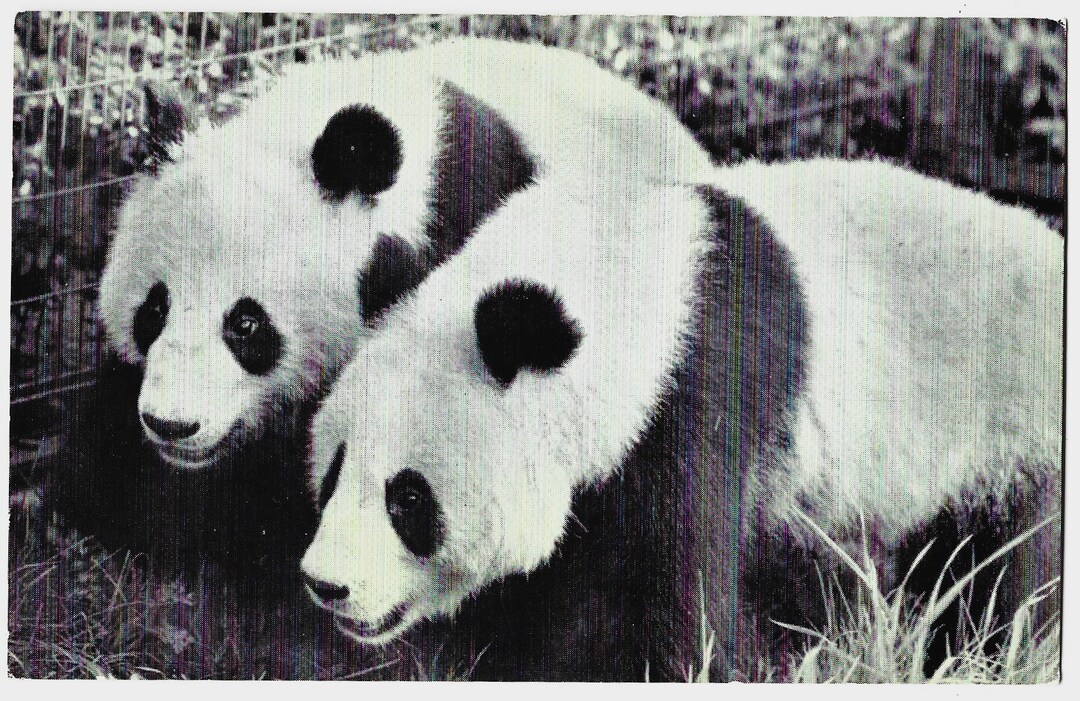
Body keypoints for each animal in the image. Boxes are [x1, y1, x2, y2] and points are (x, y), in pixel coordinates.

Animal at [300, 159, 1062, 681]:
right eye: (332, 472)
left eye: (408, 497)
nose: (326, 583)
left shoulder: (696, 406)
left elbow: (654, 615)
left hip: (1008, 426)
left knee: (1006, 574)